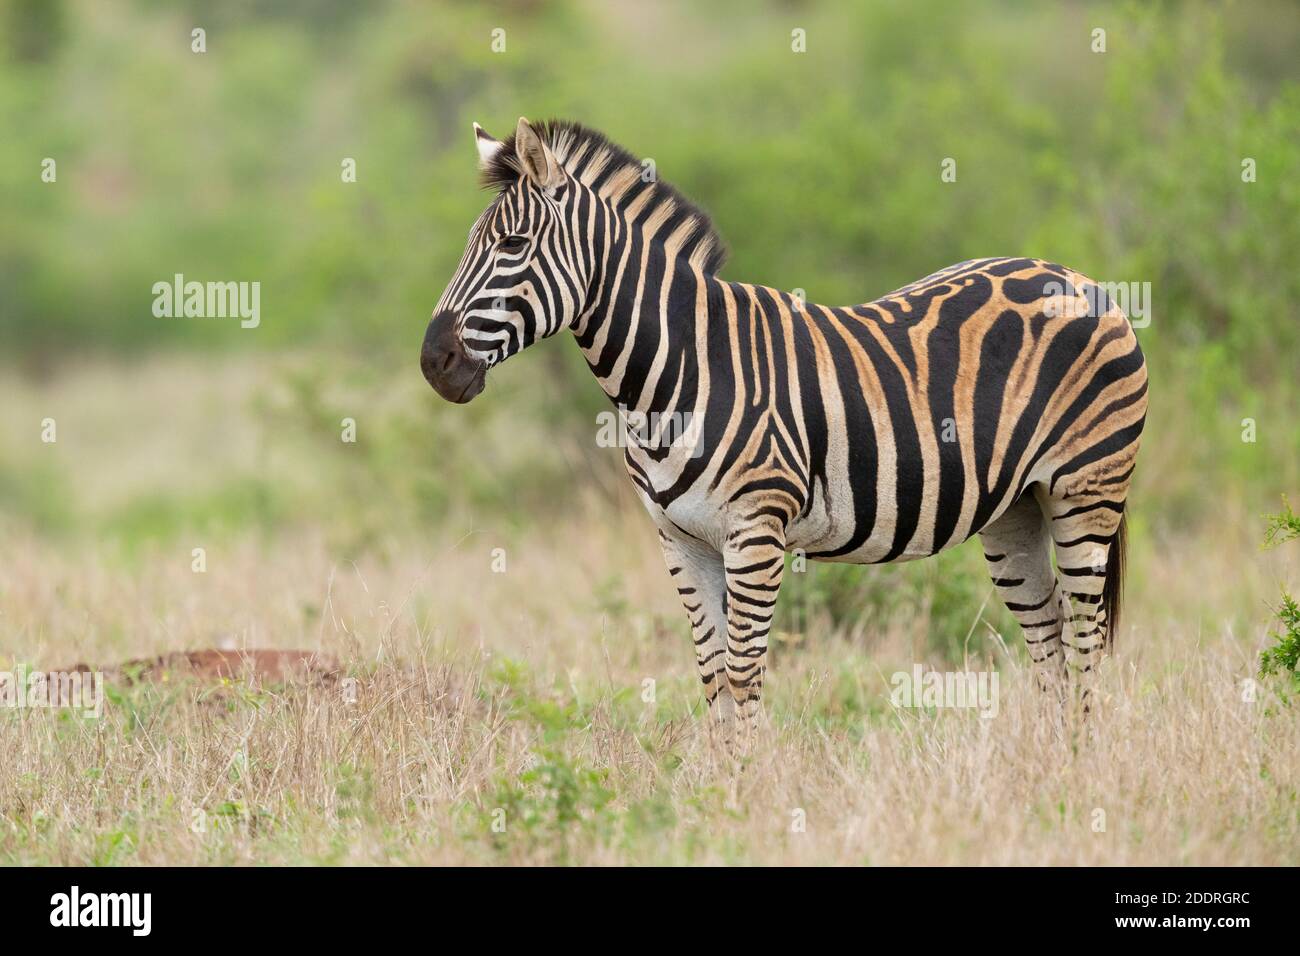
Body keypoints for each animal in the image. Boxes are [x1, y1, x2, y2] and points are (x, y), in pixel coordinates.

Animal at [423, 118, 1148, 725]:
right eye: (469, 244)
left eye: (513, 244)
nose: (434, 362)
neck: (678, 371)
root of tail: (1083, 281)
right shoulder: (680, 542)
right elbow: (712, 678)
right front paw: (716, 793)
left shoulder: (755, 532)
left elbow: (743, 677)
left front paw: (747, 793)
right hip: (1015, 510)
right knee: (1049, 645)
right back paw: (1043, 769)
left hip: (1087, 490)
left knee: (1084, 643)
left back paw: (1076, 770)